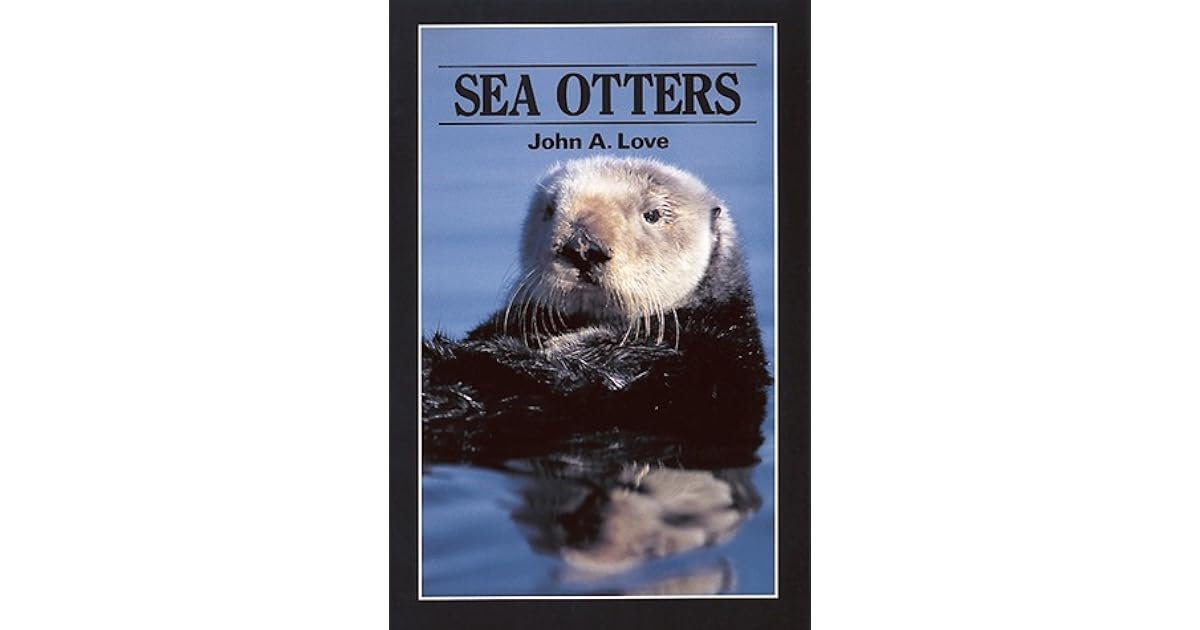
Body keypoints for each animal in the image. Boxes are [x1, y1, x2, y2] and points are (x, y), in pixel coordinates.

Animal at [423, 156, 769, 461]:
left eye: (653, 214)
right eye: (549, 209)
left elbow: (582, 382)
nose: (582, 247)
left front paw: (493, 353)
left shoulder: (697, 358)